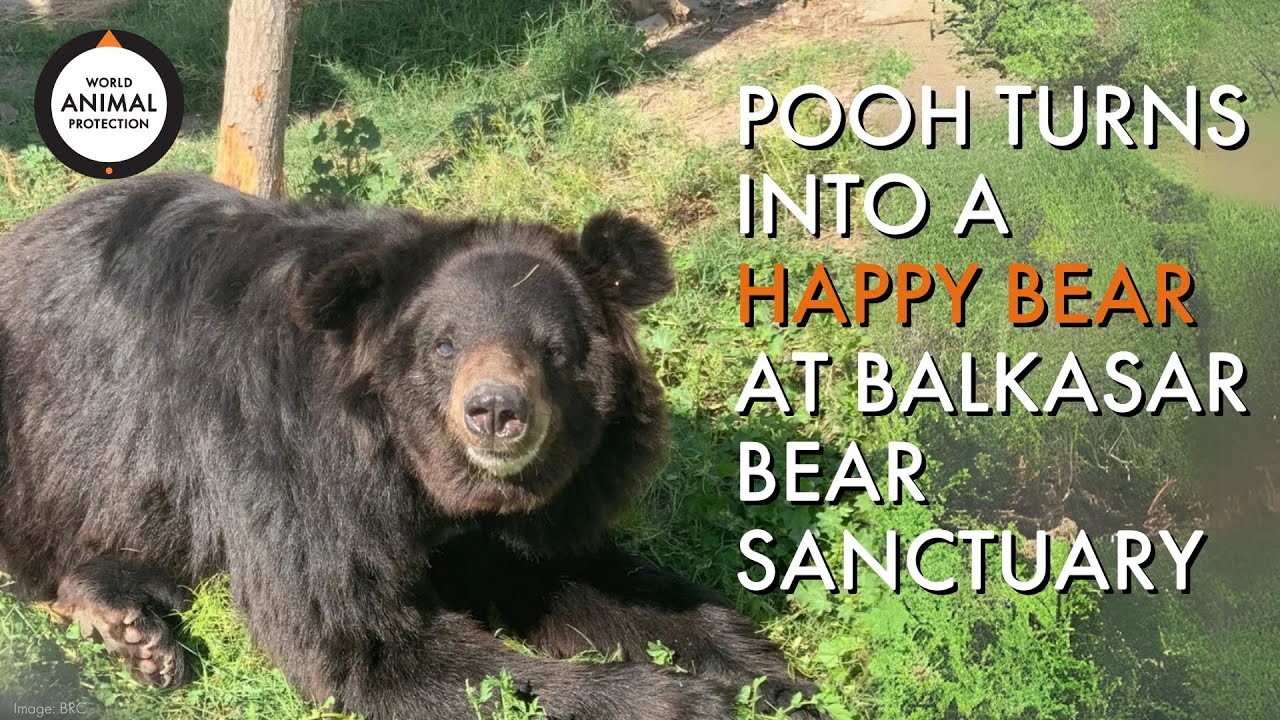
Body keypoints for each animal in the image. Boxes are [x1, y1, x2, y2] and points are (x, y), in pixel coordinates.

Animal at [0, 173, 822, 720]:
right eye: (445, 345)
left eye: (554, 349)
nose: (495, 413)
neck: (408, 456)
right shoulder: (290, 459)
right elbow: (365, 641)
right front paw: (683, 701)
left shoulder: (494, 517)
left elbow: (571, 577)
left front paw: (773, 680)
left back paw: (132, 631)